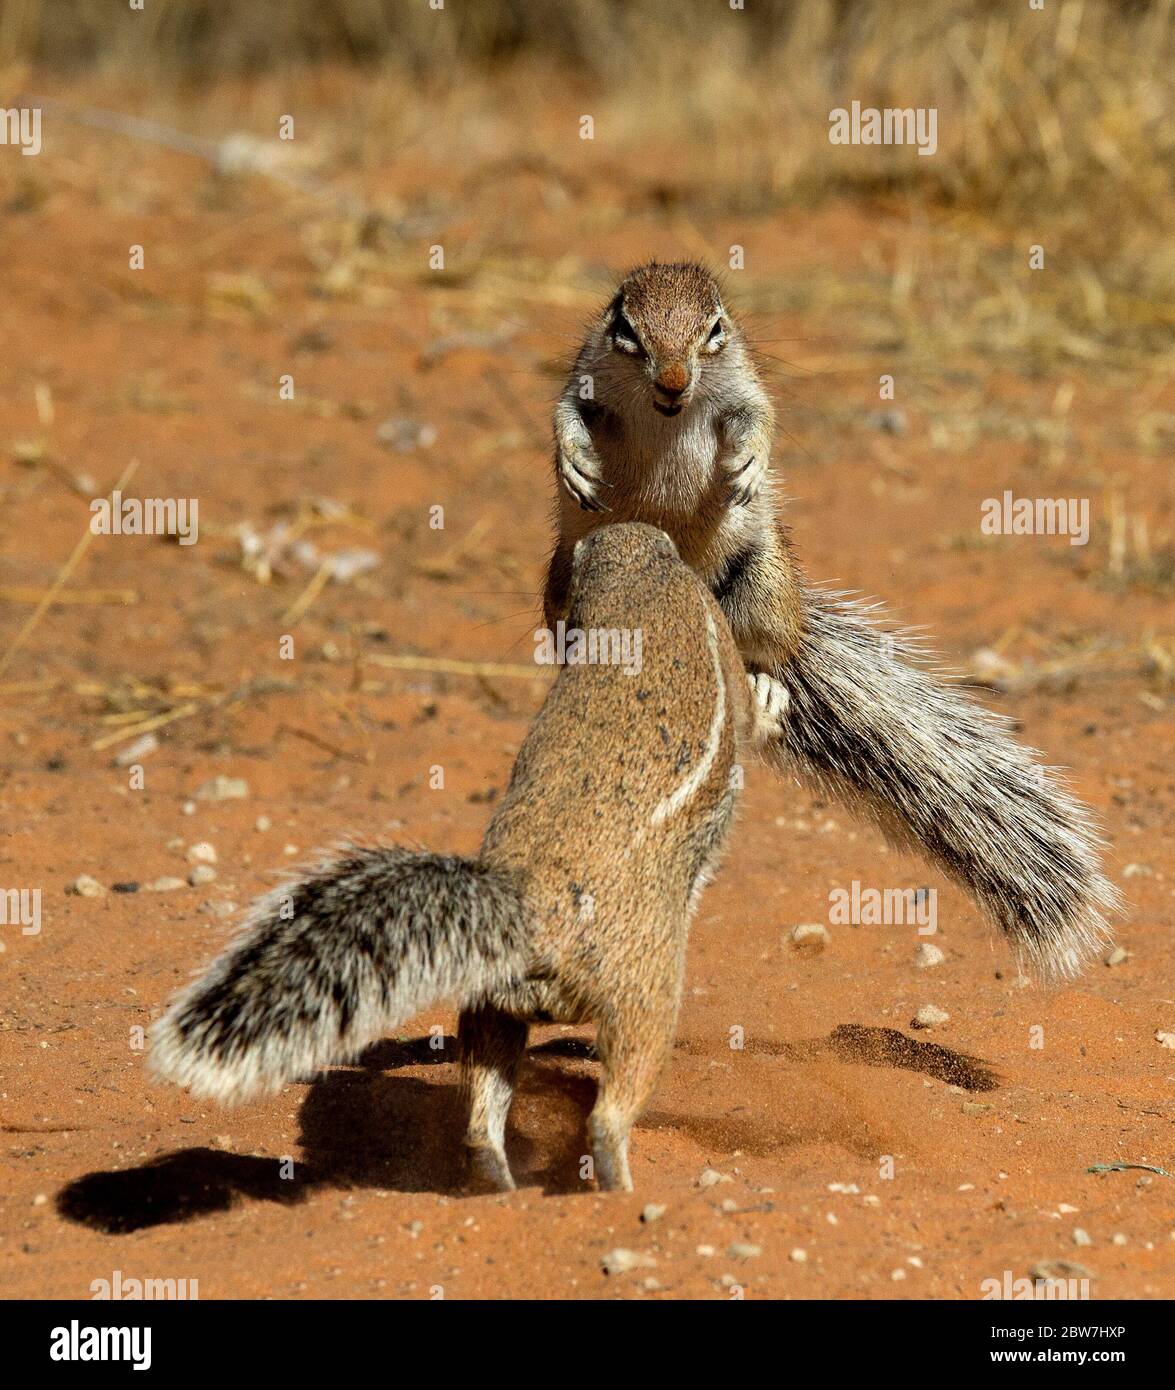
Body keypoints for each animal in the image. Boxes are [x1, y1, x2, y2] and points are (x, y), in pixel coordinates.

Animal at [151, 523, 788, 1193]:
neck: (636, 578)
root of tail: (523, 907)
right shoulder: (716, 642)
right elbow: (747, 707)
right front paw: (770, 693)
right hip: (645, 989)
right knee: (612, 1104)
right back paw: (615, 1187)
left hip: (489, 1001)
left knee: (482, 1111)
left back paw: (499, 1187)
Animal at [544, 261, 1119, 978]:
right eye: (626, 327)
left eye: (715, 328)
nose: (674, 382)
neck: (662, 412)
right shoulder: (585, 376)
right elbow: (566, 414)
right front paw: (575, 462)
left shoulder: (742, 387)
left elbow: (759, 416)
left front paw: (748, 464)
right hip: (563, 580)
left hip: (761, 588)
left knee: (771, 657)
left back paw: (764, 683)